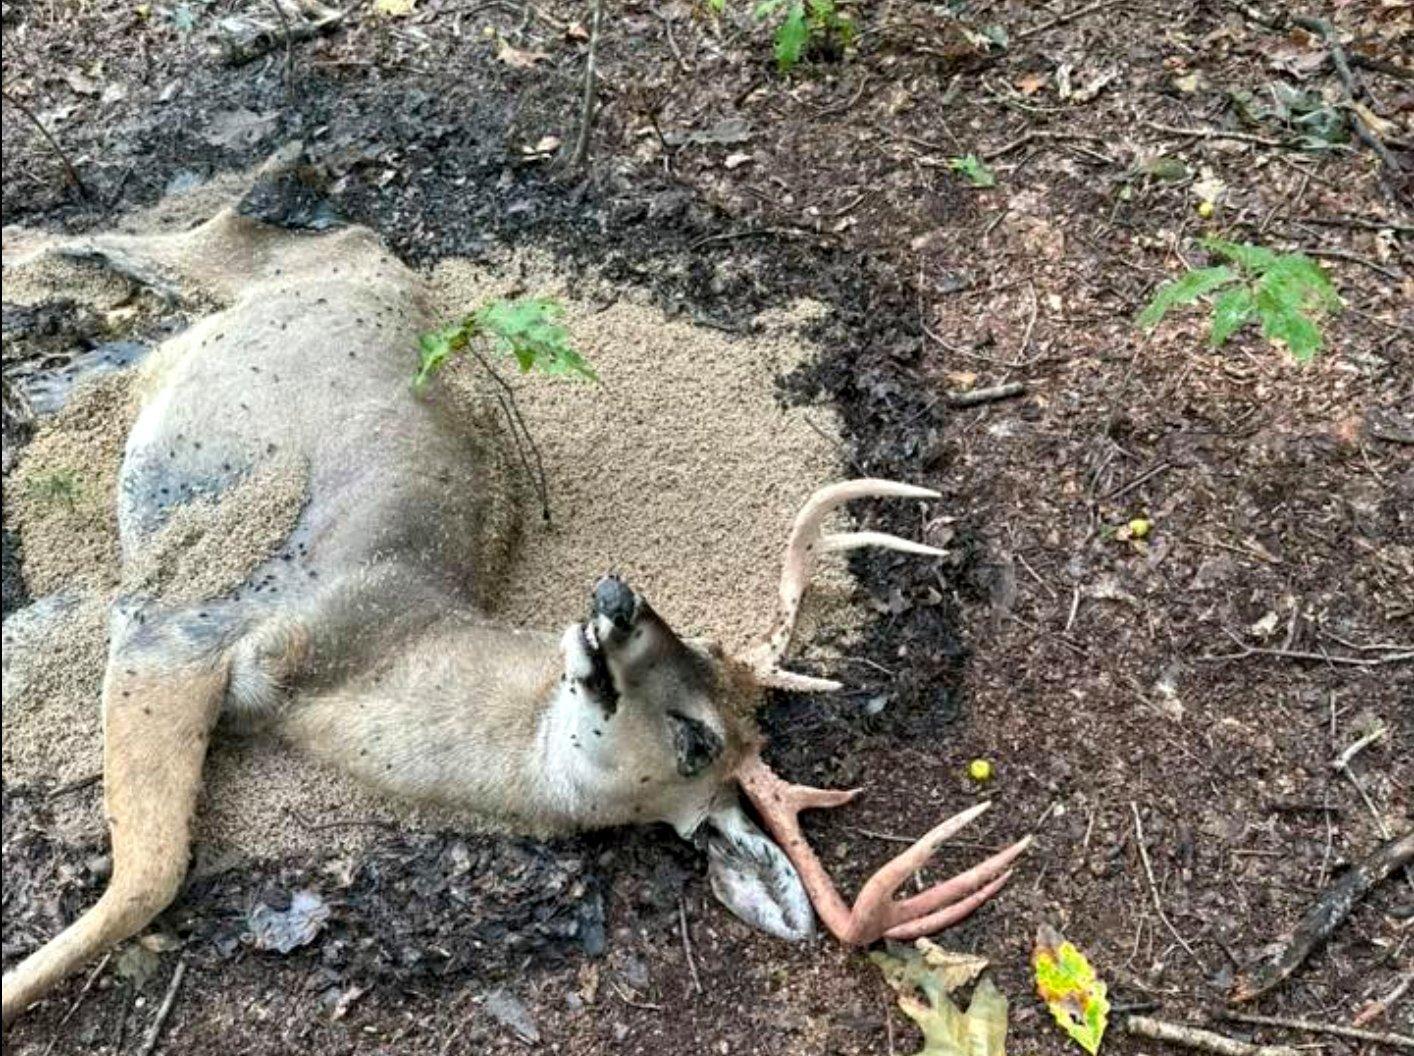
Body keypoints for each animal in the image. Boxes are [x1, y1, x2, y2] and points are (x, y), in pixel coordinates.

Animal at [0, 151, 1030, 1029]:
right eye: (696, 637)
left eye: (699, 741)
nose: (616, 600)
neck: (362, 661)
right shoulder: (188, 617)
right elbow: (148, 876)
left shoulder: (181, 629)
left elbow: (150, 876)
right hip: (280, 294)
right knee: (247, 235)